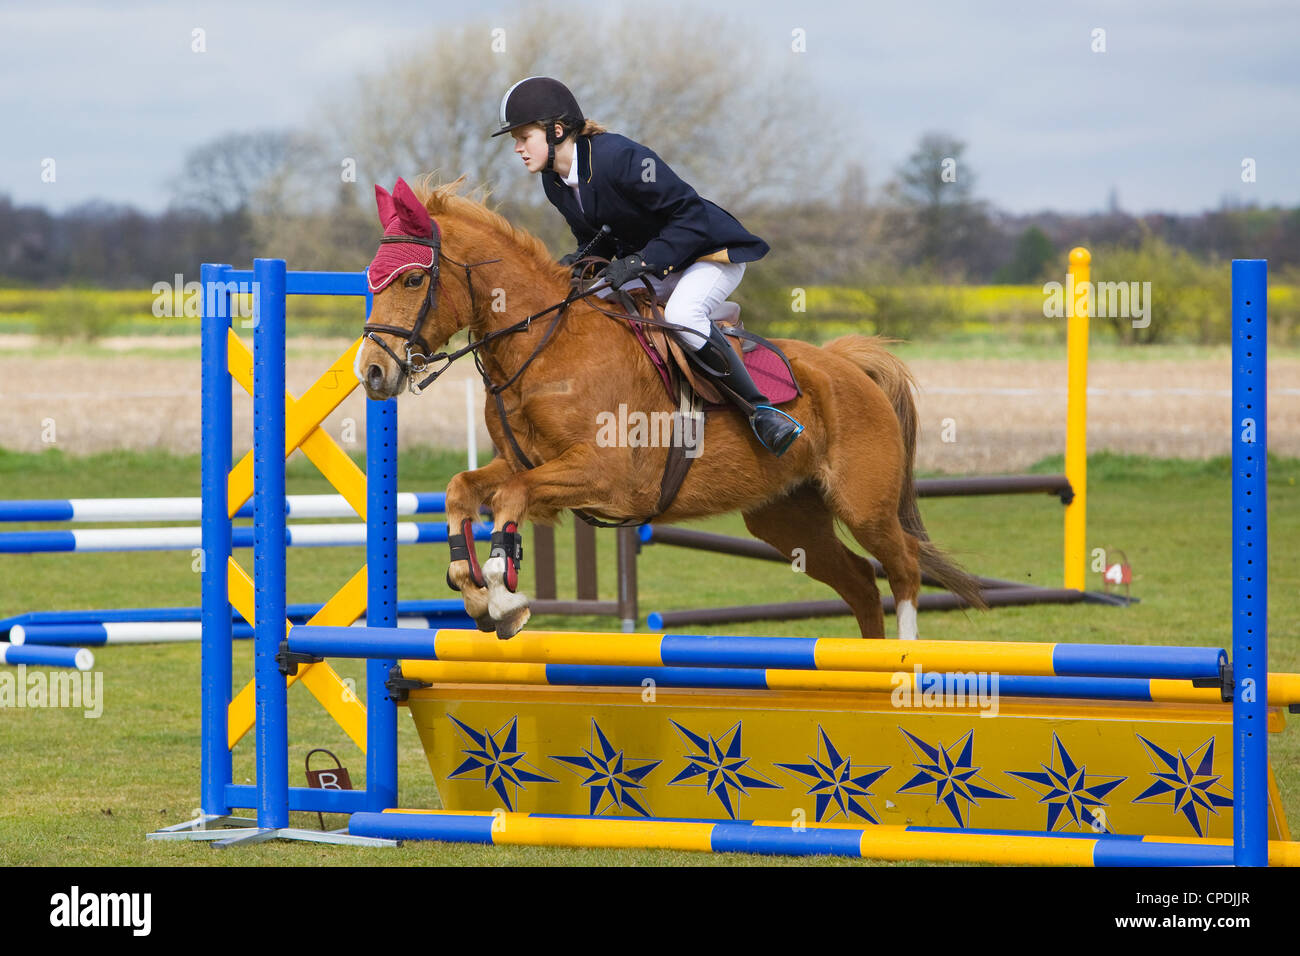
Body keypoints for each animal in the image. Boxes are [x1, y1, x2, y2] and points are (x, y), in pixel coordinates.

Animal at [357, 176, 985, 640]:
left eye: (413, 280)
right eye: (370, 278)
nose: (372, 372)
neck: (547, 345)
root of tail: (846, 363)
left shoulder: (605, 478)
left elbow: (511, 498)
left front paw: (504, 594)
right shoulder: (525, 463)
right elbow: (462, 489)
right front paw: (474, 590)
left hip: (864, 504)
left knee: (903, 567)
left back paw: (903, 668)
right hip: (785, 516)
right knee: (858, 582)